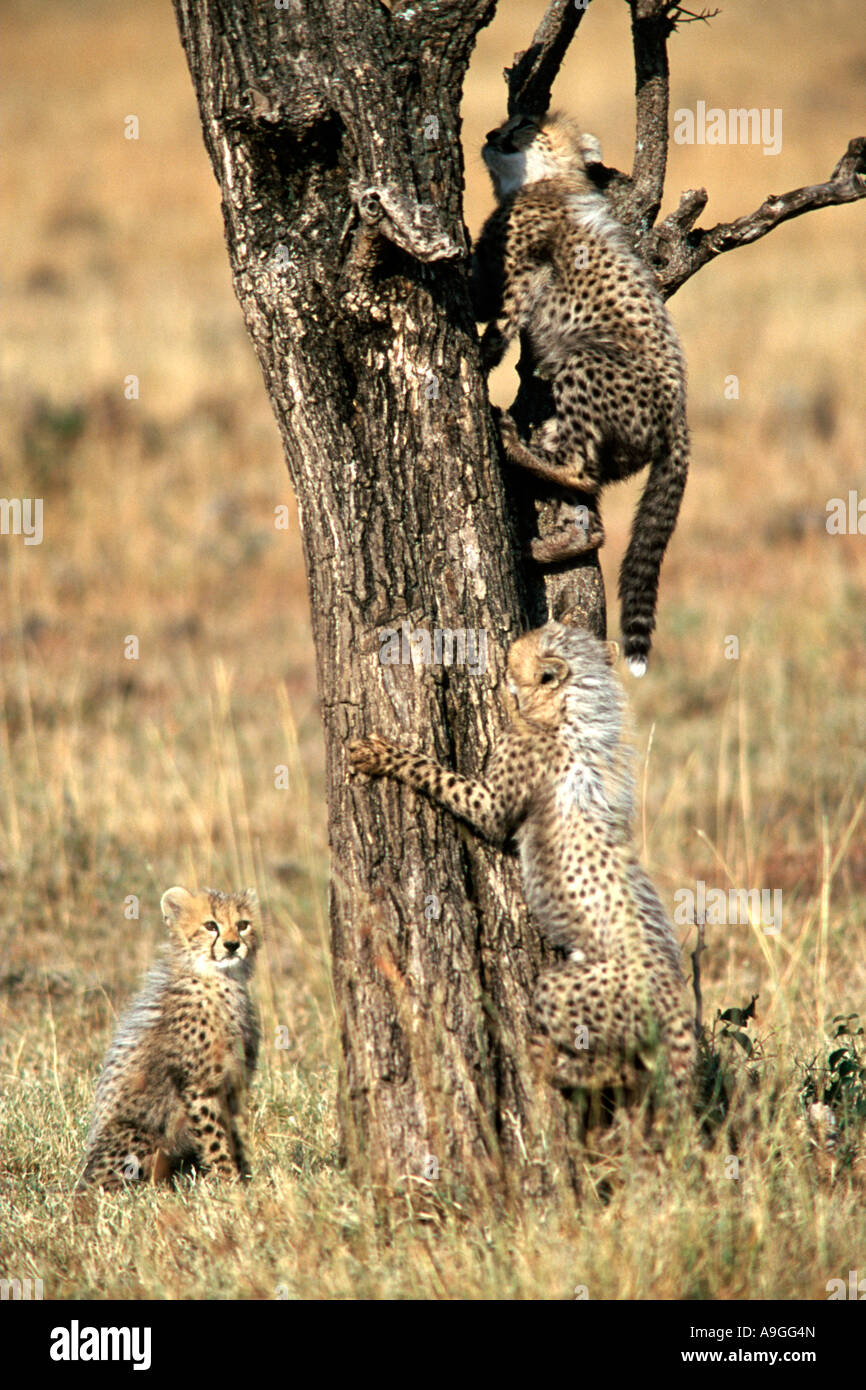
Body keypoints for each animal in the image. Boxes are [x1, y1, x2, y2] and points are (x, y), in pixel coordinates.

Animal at [76, 886, 260, 1190]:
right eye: (211, 926)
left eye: (243, 924)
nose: (233, 945)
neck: (221, 979)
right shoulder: (198, 1085)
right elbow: (214, 1136)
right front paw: (227, 1180)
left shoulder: (235, 1082)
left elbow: (238, 1131)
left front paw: (247, 1176)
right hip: (138, 1136)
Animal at [470, 111, 690, 677]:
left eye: (526, 123)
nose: (491, 135)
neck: (542, 181)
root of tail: (681, 416)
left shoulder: (524, 275)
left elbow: (499, 326)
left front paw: (479, 361)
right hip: (581, 430)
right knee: (590, 515)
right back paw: (547, 545)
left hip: (586, 362)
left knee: (579, 469)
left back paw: (511, 444)